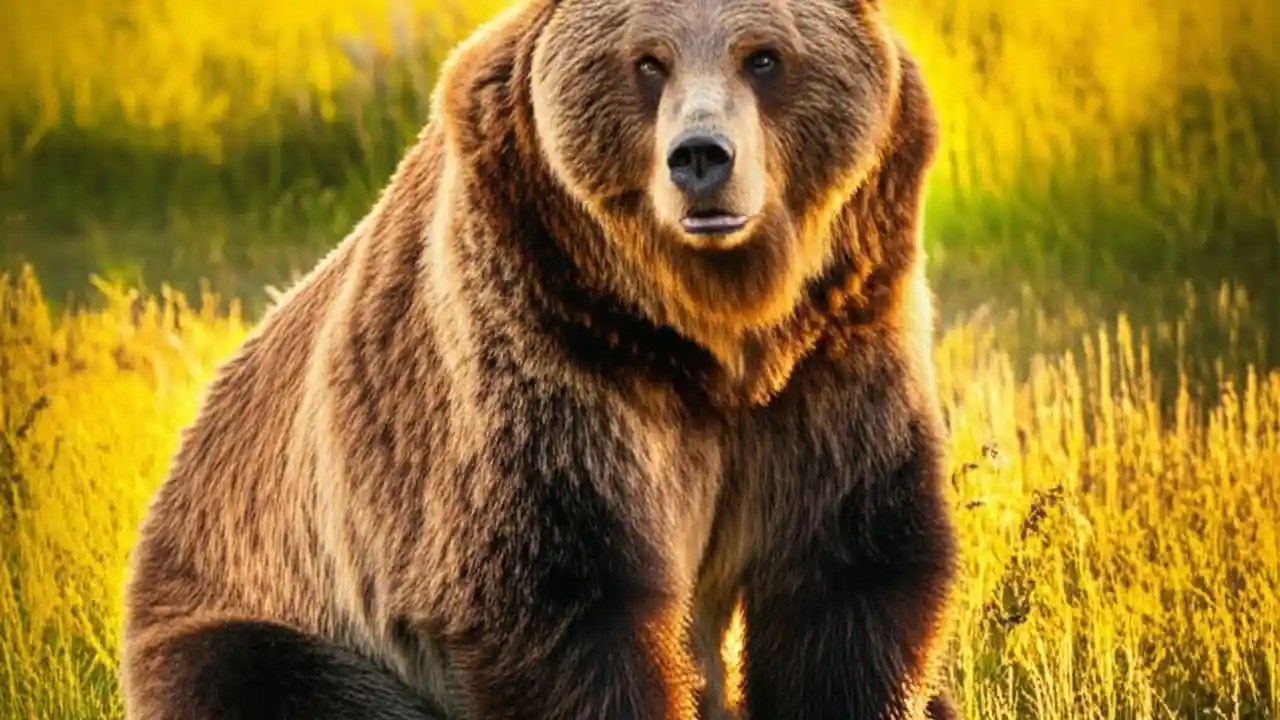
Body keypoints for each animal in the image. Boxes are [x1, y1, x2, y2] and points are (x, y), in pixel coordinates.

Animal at [120, 0, 958, 718]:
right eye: (647, 61)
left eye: (764, 56)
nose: (700, 158)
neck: (710, 335)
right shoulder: (545, 336)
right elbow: (565, 596)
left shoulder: (838, 342)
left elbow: (847, 574)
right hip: (257, 605)